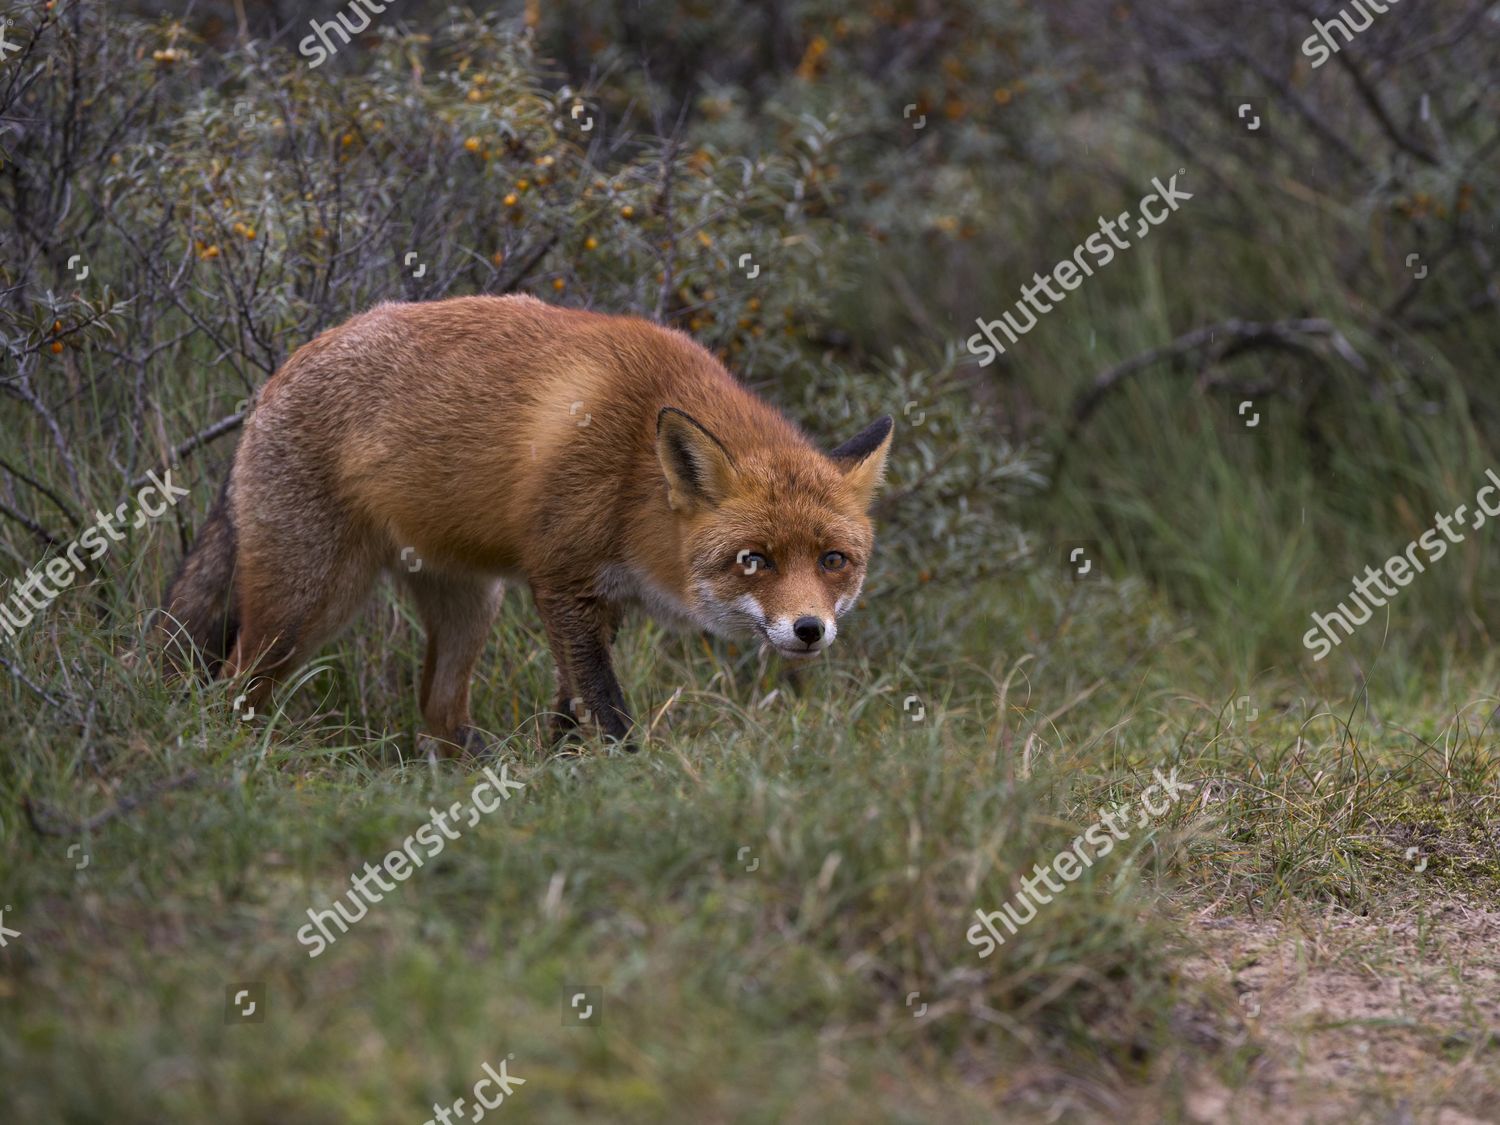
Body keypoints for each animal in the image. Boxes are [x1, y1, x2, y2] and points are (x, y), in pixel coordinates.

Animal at [159, 294, 894, 753]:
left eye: (833, 560)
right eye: (753, 559)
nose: (809, 629)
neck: (634, 473)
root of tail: (270, 383)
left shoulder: (601, 600)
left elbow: (571, 705)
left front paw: (559, 771)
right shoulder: (561, 579)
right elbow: (606, 704)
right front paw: (630, 774)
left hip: (469, 606)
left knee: (439, 713)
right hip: (306, 602)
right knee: (232, 686)